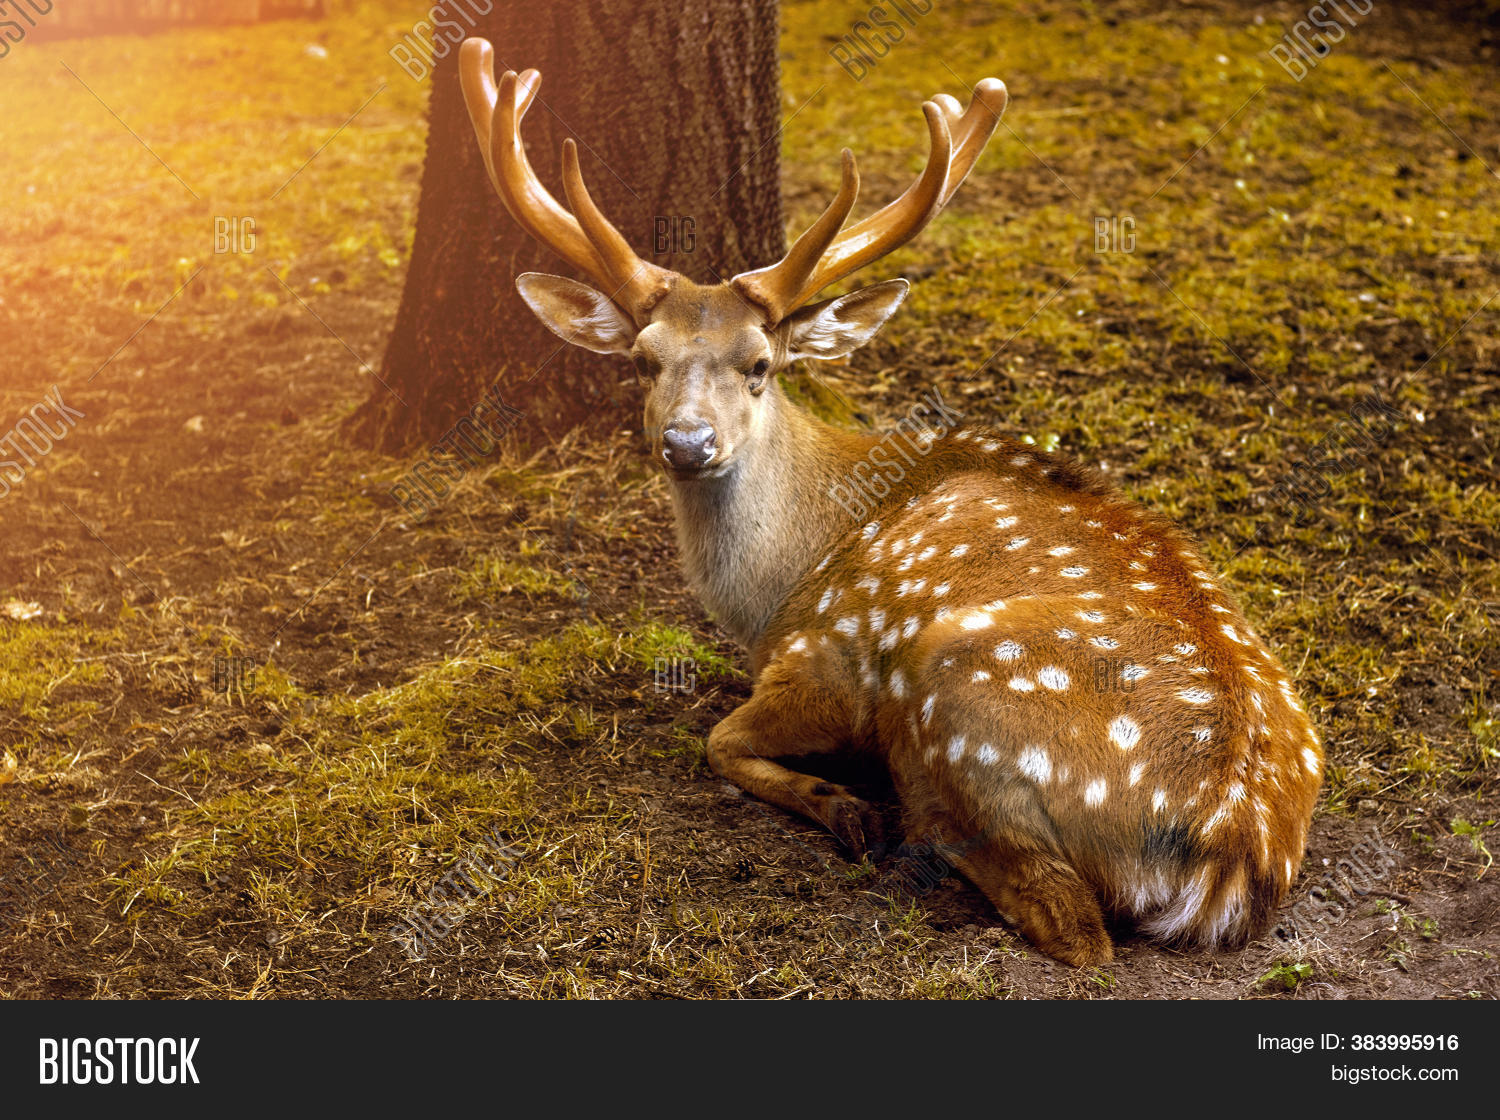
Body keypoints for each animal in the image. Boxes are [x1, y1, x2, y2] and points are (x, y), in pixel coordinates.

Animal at [457, 38, 1323, 966]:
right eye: (643, 360)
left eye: (761, 364)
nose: (687, 443)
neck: (777, 587)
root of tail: (1230, 851)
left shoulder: (824, 661)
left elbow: (717, 740)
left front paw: (841, 802)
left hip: (954, 676)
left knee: (1064, 915)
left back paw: (896, 817)